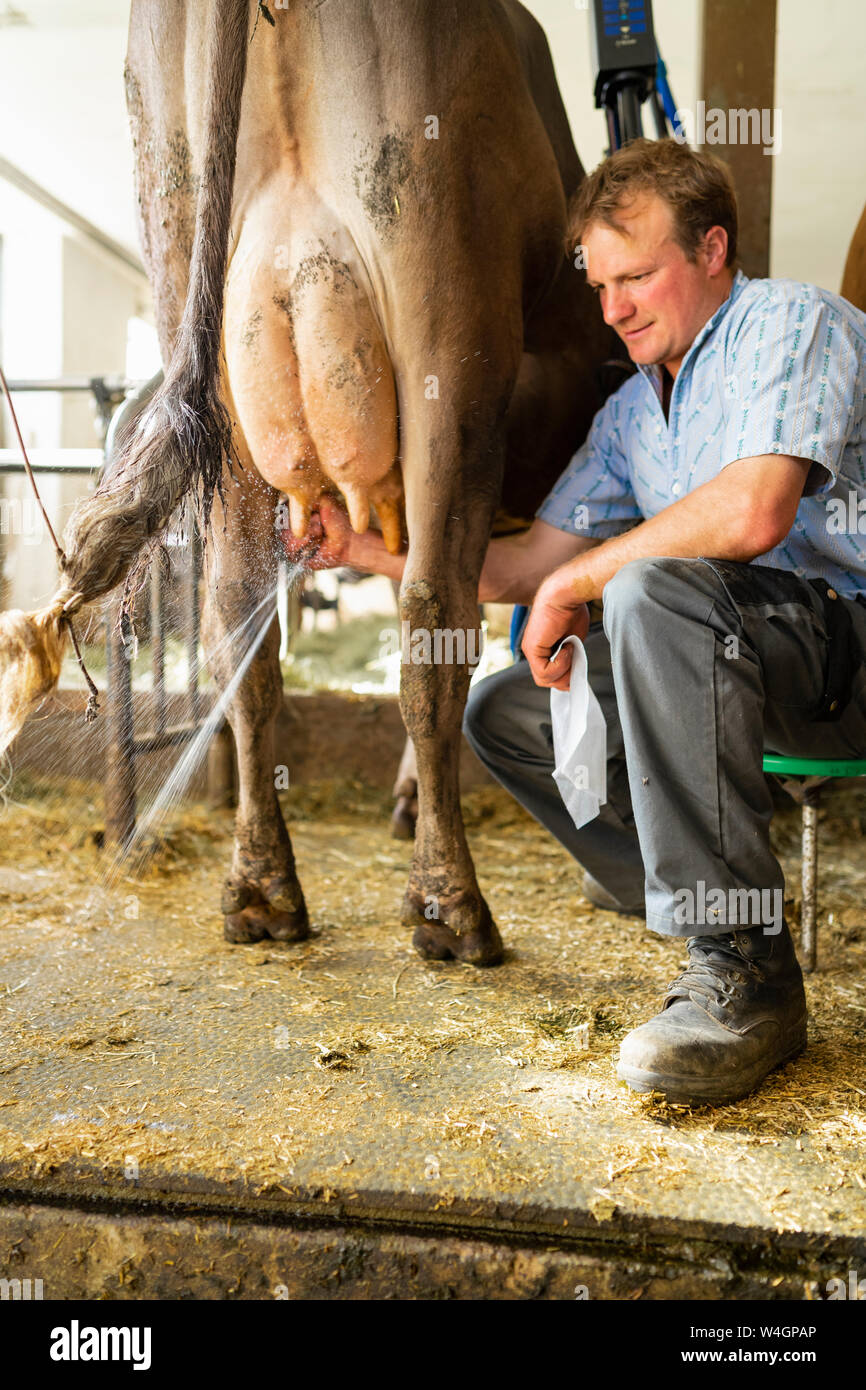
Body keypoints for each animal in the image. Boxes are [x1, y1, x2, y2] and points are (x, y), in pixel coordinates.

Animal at [0, 0, 614, 966]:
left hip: (202, 318)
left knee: (239, 630)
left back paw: (262, 892)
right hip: (449, 326)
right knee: (432, 617)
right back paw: (450, 907)